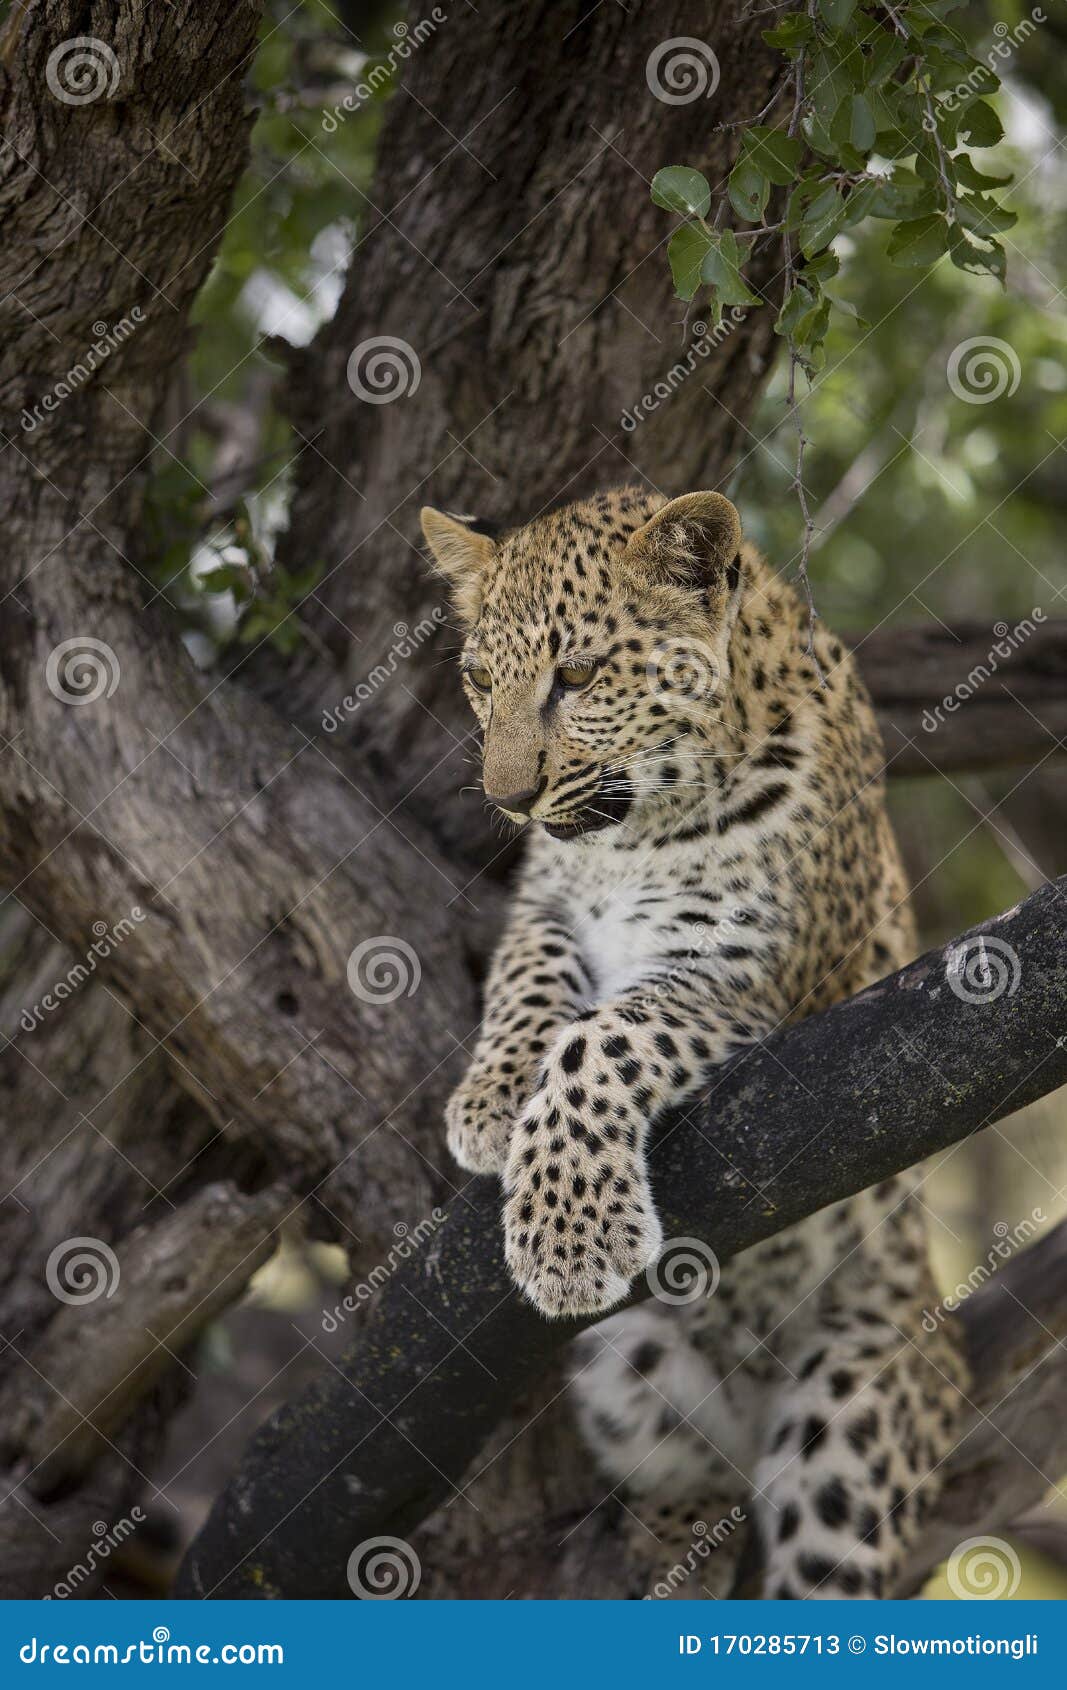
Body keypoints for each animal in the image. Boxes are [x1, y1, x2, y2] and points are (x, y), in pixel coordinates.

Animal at [421, 486, 968, 1600]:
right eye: (480, 681)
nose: (504, 798)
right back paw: (669, 1540)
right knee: (705, 1482)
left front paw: (567, 1237)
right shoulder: (547, 904)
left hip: (851, 1424)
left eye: (578, 676)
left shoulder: (733, 977)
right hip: (622, 1370)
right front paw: (489, 1103)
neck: (631, 837)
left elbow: (596, 1041)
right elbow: (528, 980)